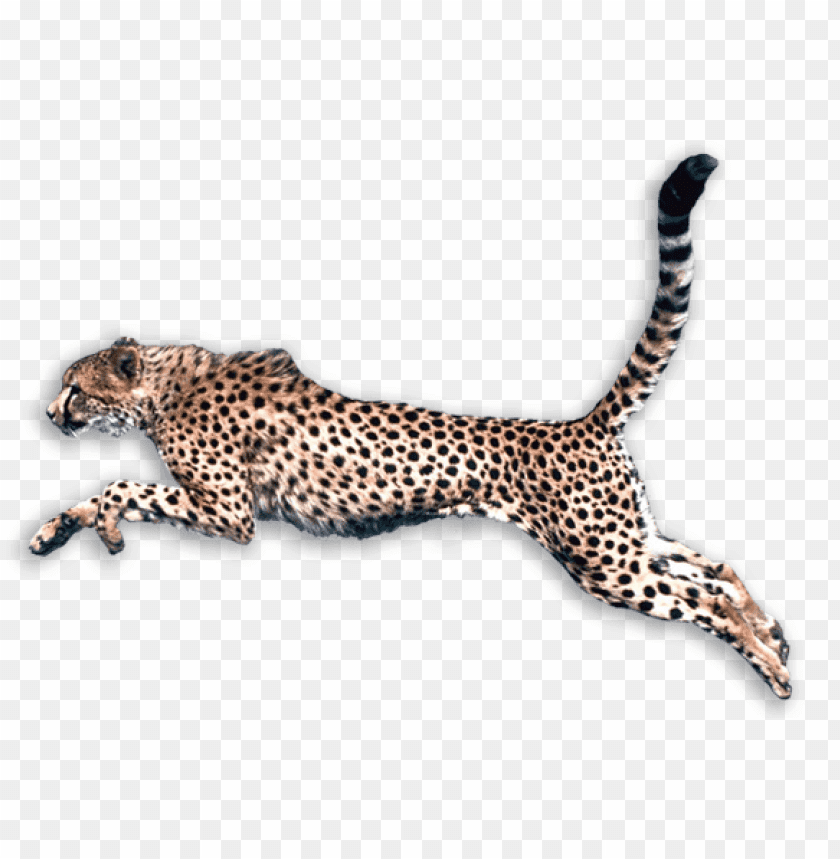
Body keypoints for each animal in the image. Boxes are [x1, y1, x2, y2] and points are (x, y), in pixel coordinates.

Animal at [30, 155, 791, 698]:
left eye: (75, 387)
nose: (48, 413)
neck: (164, 386)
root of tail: (582, 424)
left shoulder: (228, 511)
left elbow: (121, 486)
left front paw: (100, 525)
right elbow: (104, 495)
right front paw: (56, 532)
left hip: (605, 560)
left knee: (703, 597)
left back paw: (771, 666)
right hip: (625, 538)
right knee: (717, 569)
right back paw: (773, 632)